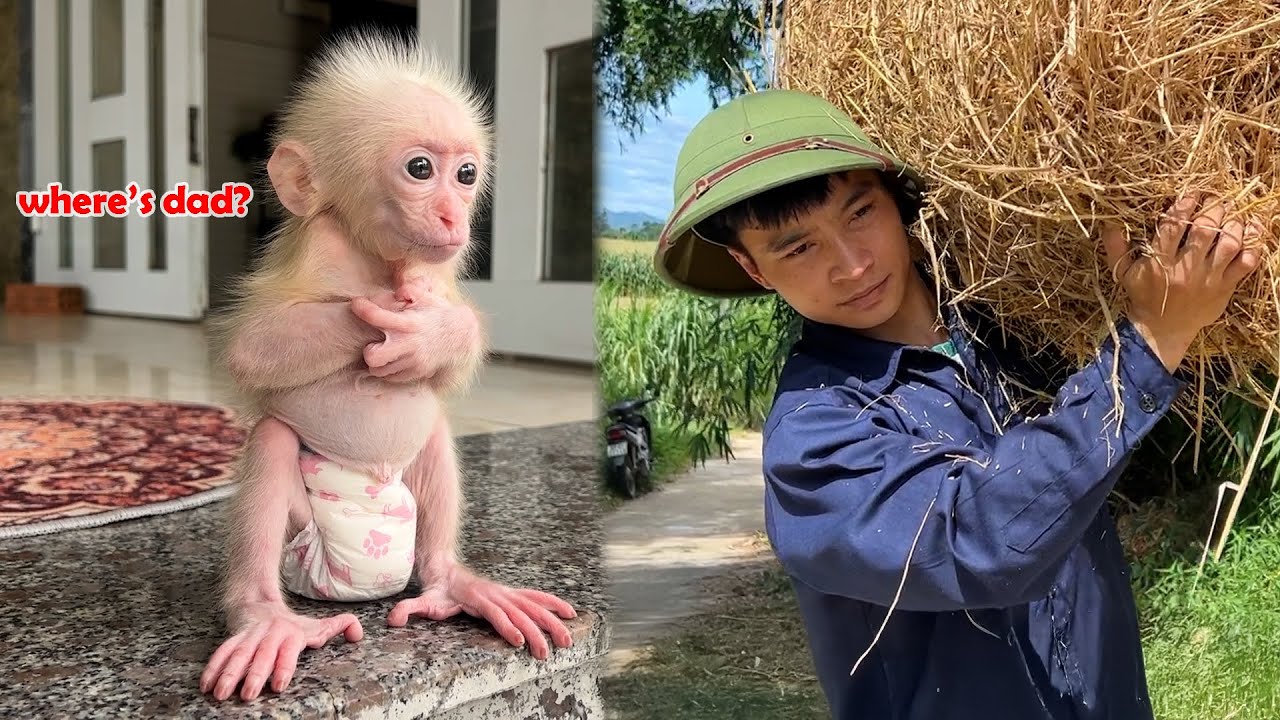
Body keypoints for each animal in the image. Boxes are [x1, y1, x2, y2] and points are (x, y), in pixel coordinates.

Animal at [198, 31, 577, 703]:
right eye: (420, 169)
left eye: (466, 174)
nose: (455, 215)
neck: (372, 257)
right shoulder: (311, 253)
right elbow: (254, 346)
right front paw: (386, 317)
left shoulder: (439, 267)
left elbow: (449, 349)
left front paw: (433, 331)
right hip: (305, 555)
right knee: (271, 438)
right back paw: (265, 619)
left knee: (432, 433)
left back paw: (455, 583)